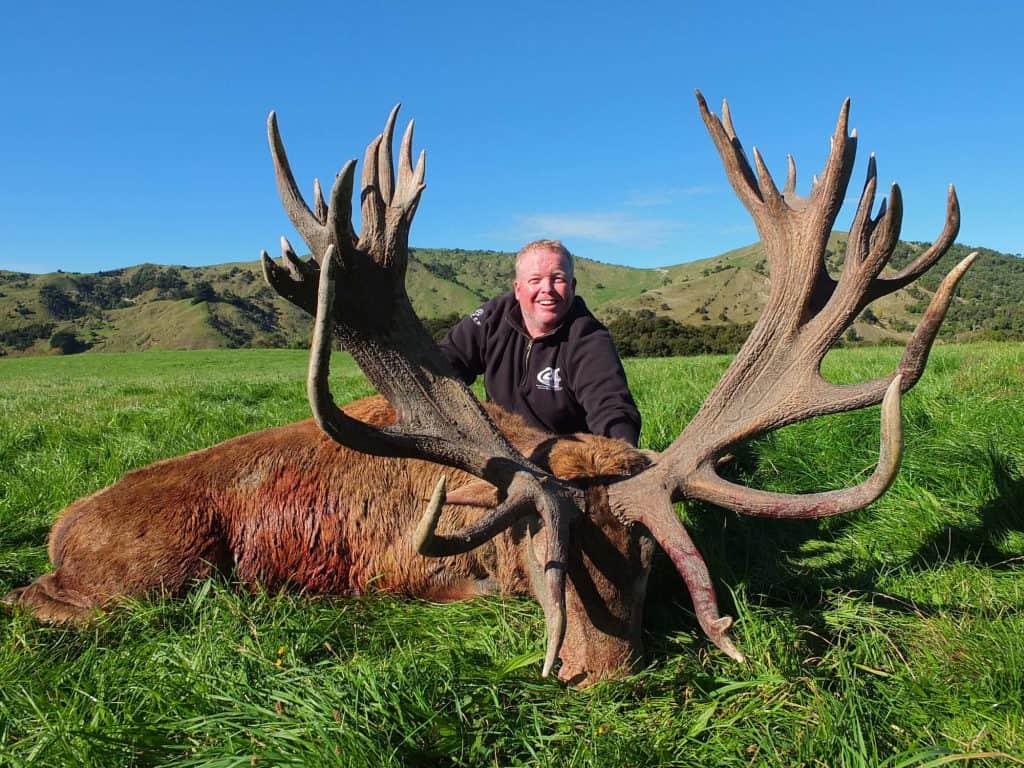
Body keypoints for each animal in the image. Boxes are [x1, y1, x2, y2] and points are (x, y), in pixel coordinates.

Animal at [3, 92, 974, 687]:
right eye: (543, 560)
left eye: (649, 555)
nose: (594, 672)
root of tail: (60, 522)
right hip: (152, 573)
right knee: (40, 602)